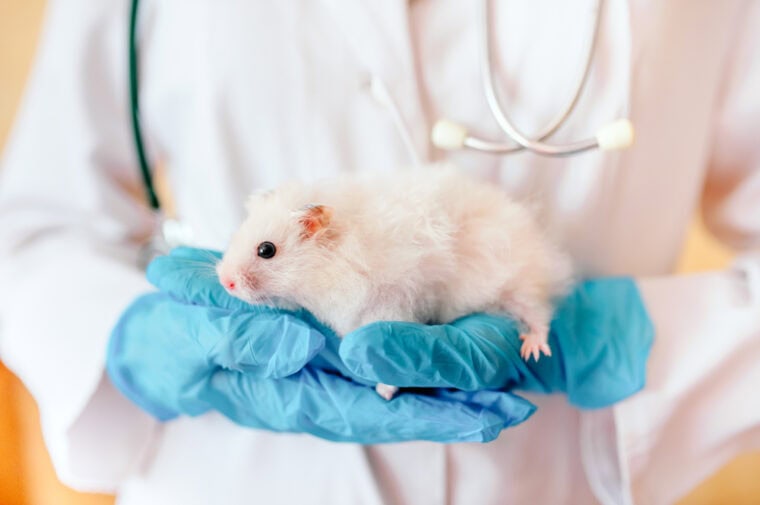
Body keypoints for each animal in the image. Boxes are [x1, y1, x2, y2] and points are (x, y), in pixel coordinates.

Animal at [217, 166, 572, 400]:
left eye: (266, 250)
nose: (224, 281)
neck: (333, 262)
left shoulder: (385, 306)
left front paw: (384, 392)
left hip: (519, 284)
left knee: (539, 314)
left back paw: (533, 350)